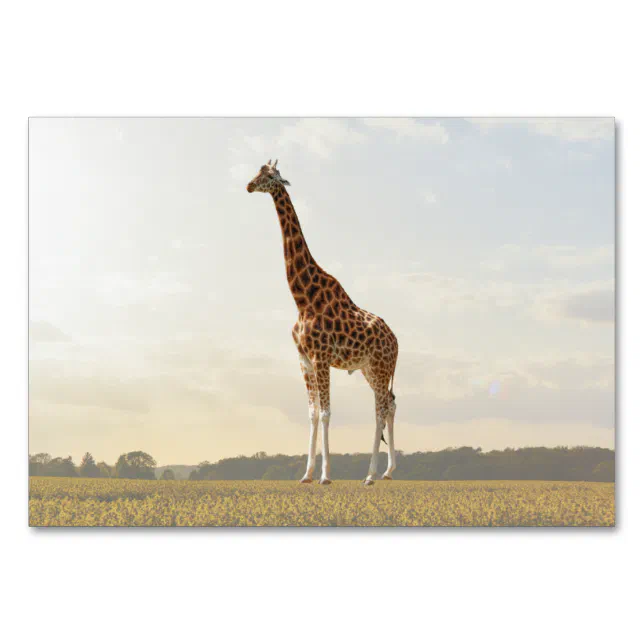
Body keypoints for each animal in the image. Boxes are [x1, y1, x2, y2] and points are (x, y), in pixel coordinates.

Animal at [247, 160, 399, 486]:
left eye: (269, 176)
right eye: (258, 171)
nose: (249, 185)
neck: (303, 298)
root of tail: (397, 341)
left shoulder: (321, 357)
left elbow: (327, 412)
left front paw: (326, 476)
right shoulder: (304, 359)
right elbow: (313, 413)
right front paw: (306, 475)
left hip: (380, 368)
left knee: (380, 409)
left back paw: (370, 475)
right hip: (370, 369)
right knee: (390, 403)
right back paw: (388, 472)